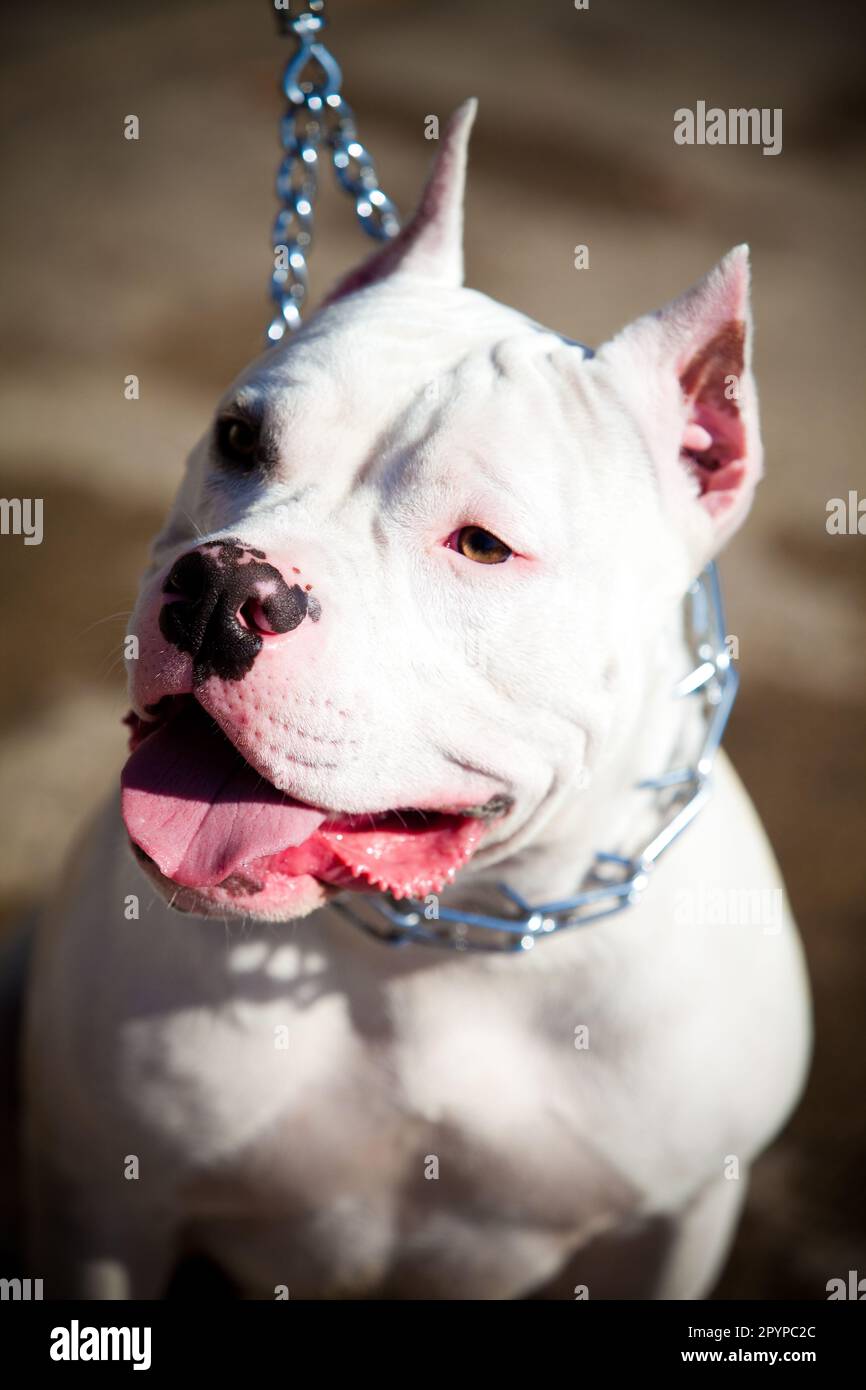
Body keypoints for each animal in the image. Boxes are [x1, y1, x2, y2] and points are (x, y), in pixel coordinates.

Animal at [23, 102, 811, 1295]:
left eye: (481, 545)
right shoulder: (103, 1208)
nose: (223, 590)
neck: (439, 947)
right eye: (240, 437)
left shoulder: (674, 1221)